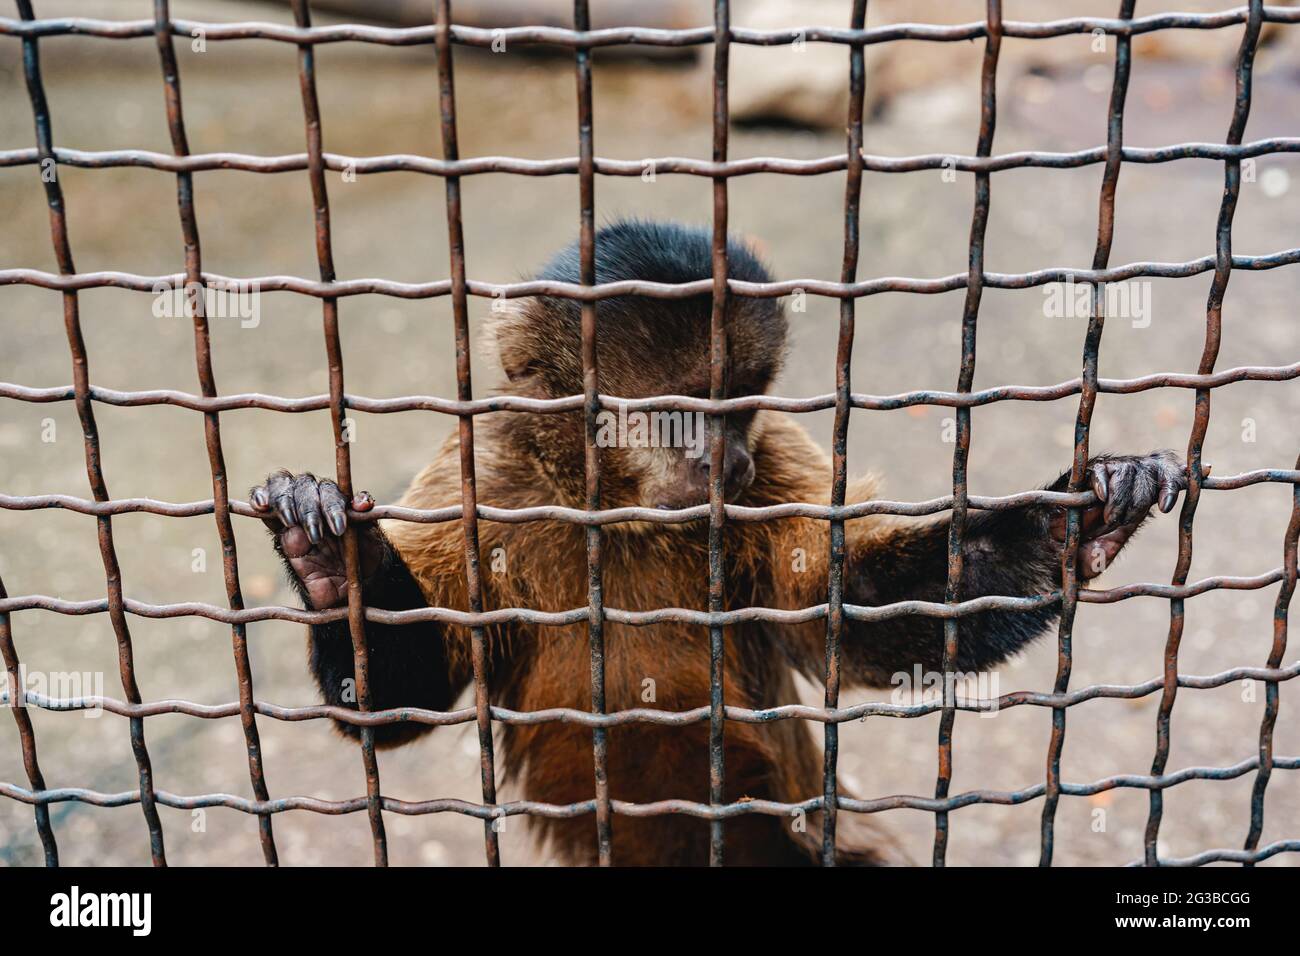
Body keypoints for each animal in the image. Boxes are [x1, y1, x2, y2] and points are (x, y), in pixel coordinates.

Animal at [251, 219, 1186, 866]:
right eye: (685, 414)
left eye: (740, 405)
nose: (726, 458)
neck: (617, 510)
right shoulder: (490, 471)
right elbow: (396, 700)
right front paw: (332, 565)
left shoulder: (766, 467)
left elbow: (852, 617)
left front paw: (1074, 525)